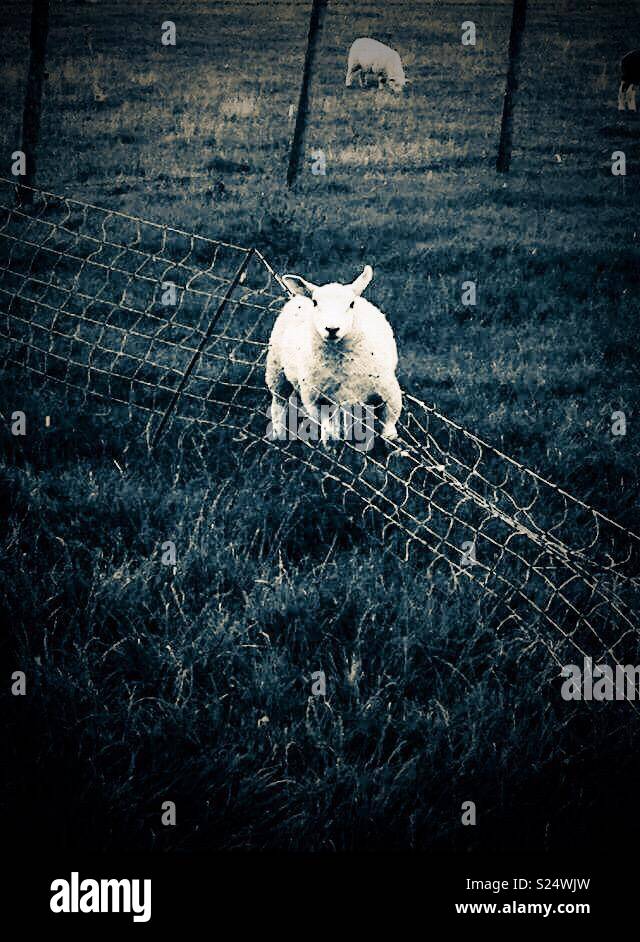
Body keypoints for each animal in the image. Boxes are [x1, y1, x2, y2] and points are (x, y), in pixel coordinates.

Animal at [266, 265, 402, 447]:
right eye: (315, 303)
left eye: (351, 304)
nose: (332, 329)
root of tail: (296, 298)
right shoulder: (319, 400)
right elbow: (331, 435)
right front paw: (331, 446)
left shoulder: (389, 393)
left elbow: (388, 428)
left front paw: (393, 446)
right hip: (276, 370)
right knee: (278, 403)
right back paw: (278, 434)